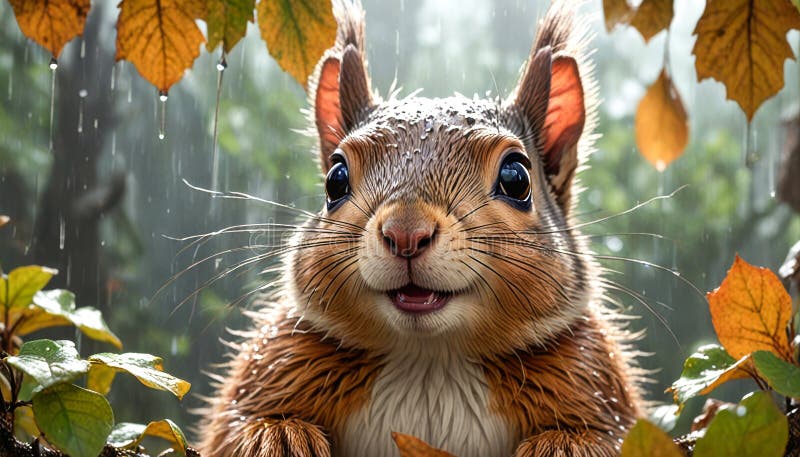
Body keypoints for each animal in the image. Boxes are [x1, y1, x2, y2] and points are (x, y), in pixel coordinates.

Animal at [198, 1, 644, 456]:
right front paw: (281, 437)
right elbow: (232, 428)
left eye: (517, 178)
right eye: (335, 180)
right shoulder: (274, 358)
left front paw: (562, 445)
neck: (430, 358)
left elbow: (606, 436)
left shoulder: (594, 375)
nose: (406, 233)